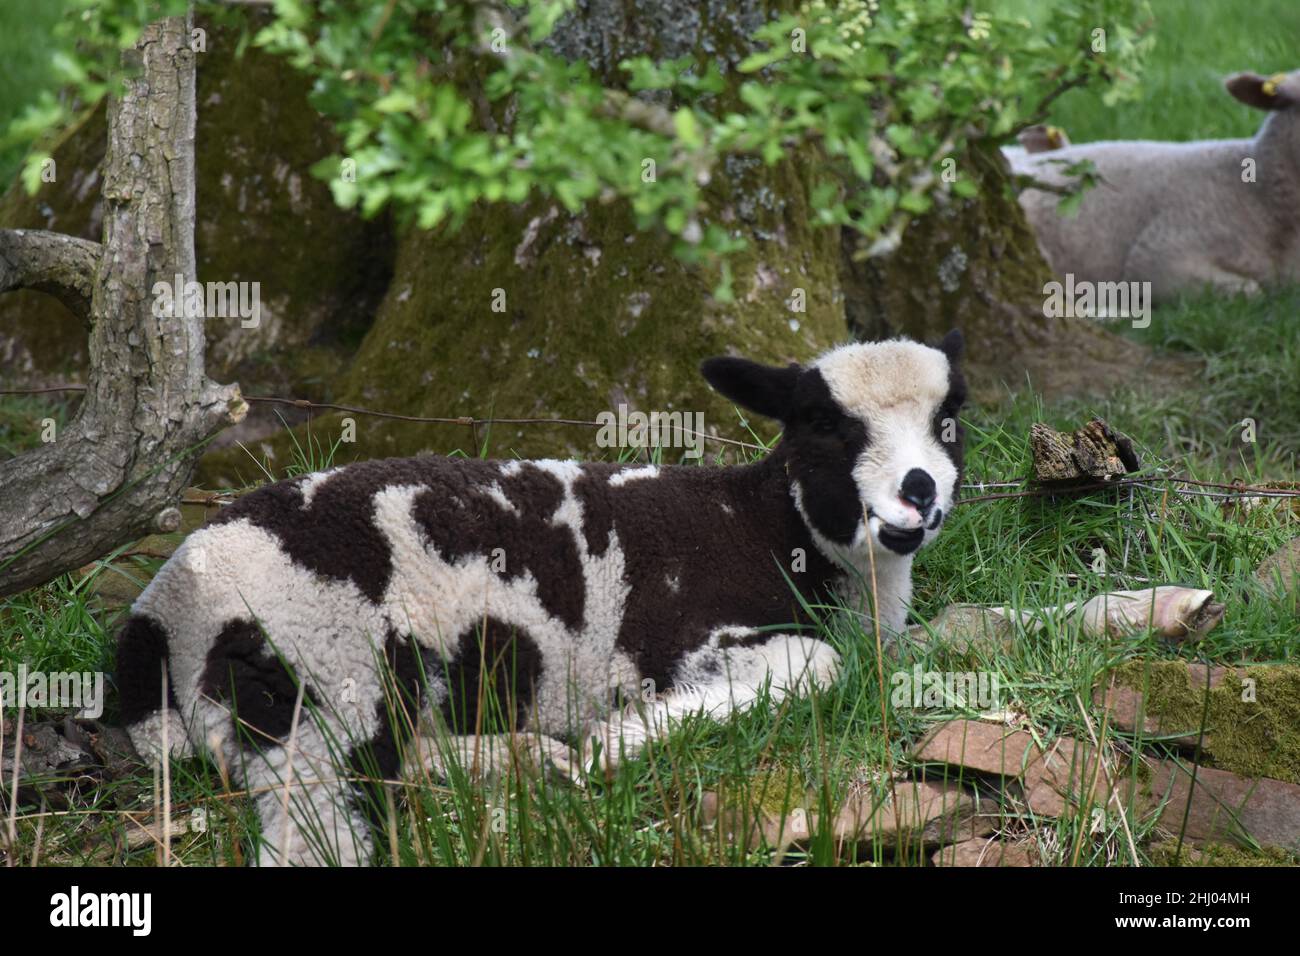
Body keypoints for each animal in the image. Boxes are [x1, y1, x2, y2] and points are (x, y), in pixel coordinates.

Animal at [115, 332, 967, 865]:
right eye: (825, 424)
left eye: (949, 421)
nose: (919, 494)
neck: (768, 523)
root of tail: (162, 609)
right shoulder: (680, 638)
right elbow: (819, 665)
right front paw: (621, 741)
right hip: (323, 674)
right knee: (321, 817)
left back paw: (527, 757)